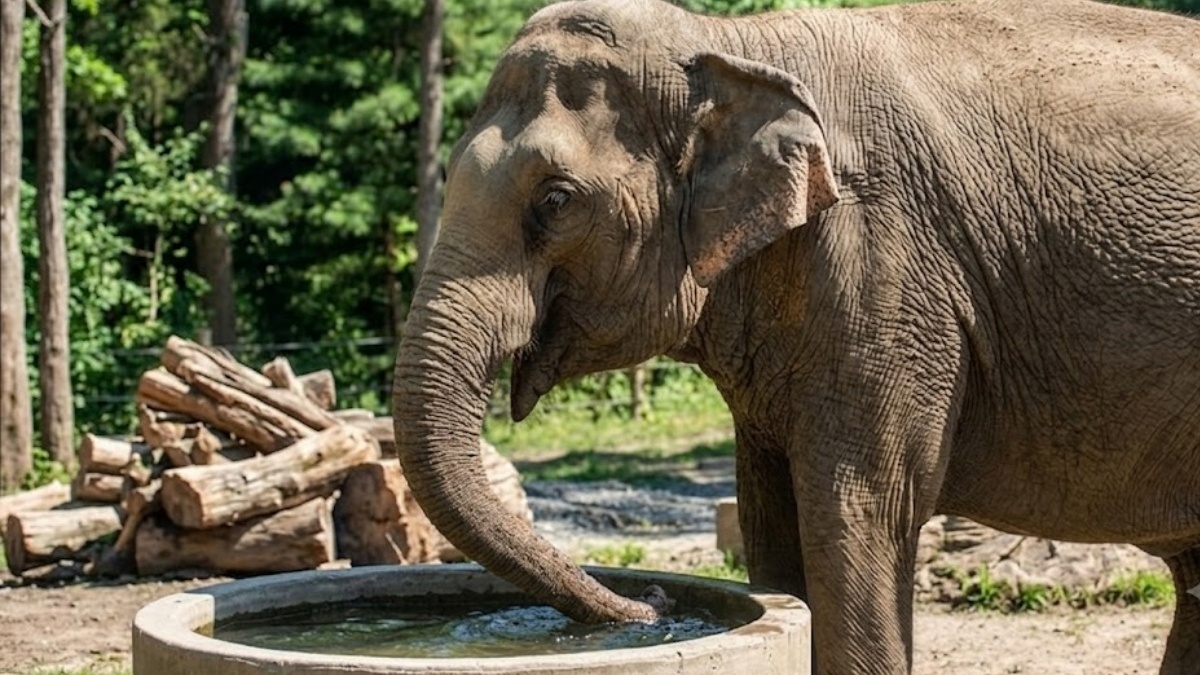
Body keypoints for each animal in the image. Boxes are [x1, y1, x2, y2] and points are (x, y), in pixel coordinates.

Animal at [391, 0, 1200, 672]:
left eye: (555, 201)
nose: (654, 600)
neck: (729, 42)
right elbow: (769, 520)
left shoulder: (887, 266)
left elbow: (861, 509)